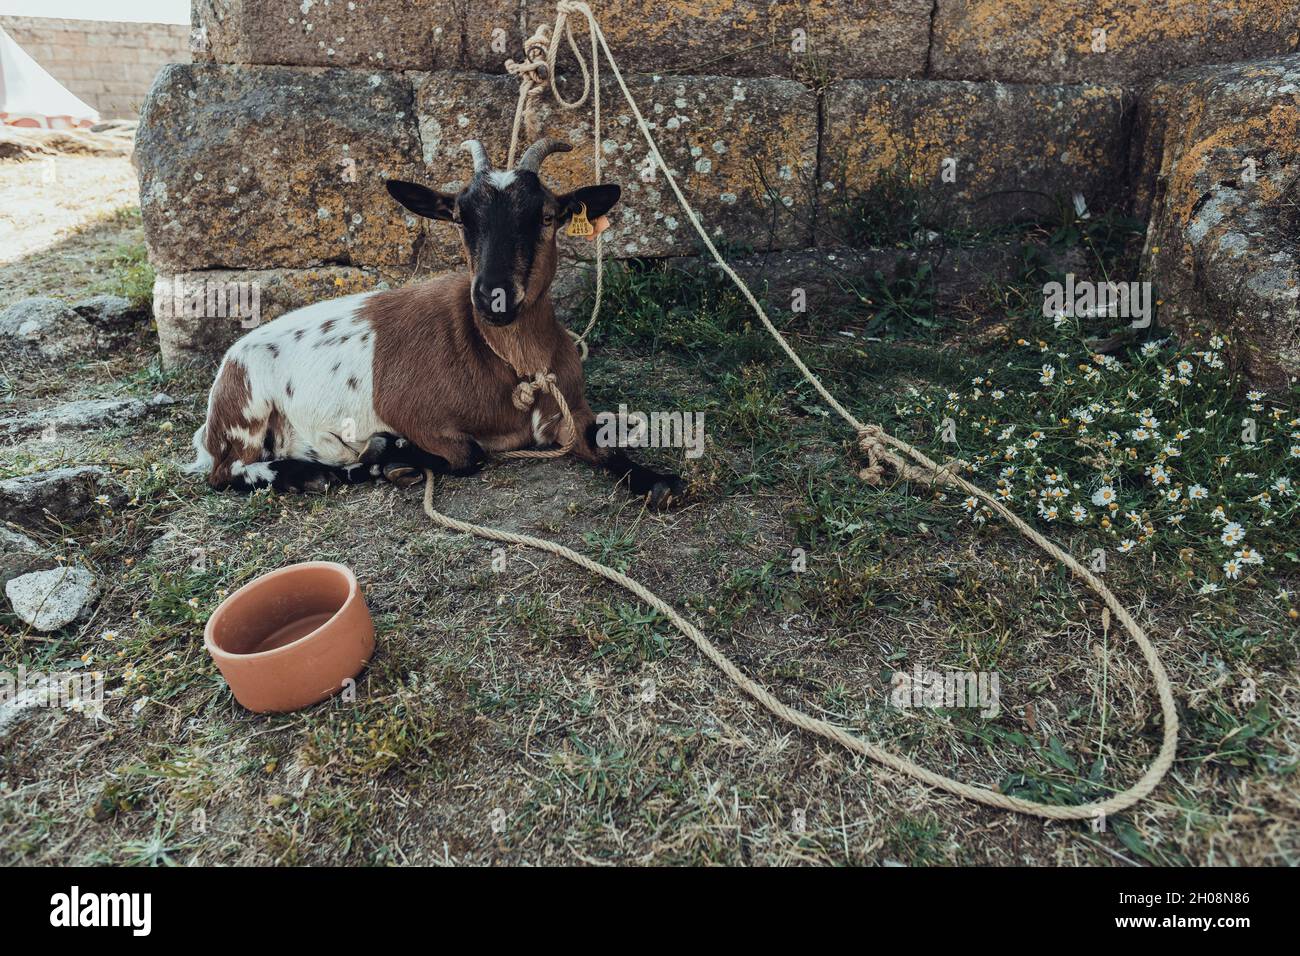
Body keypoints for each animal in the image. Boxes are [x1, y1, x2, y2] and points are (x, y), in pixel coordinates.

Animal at [189, 137, 686, 507]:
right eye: (461, 218)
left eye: (547, 216)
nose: (493, 297)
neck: (514, 364)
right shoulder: (413, 414)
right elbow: (468, 454)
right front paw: (392, 458)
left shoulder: (566, 413)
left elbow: (603, 437)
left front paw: (657, 480)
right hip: (247, 409)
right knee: (225, 472)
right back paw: (311, 474)